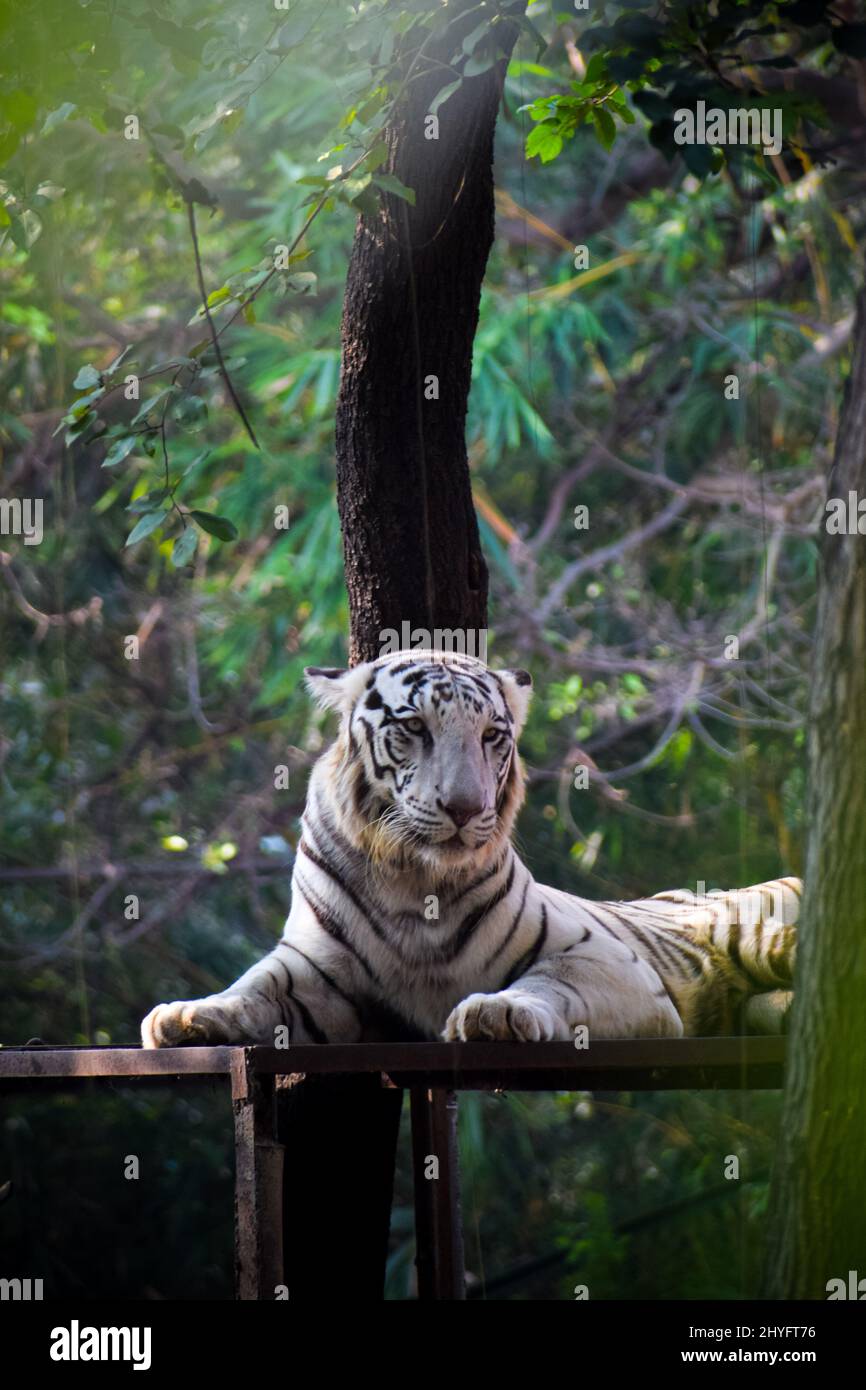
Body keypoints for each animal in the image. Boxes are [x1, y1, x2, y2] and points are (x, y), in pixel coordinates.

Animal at [141, 649, 800, 1049]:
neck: (414, 882)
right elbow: (255, 986)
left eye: (491, 736)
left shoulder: (608, 962)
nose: (464, 807)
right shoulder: (314, 968)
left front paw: (495, 1013)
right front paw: (189, 1015)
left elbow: (547, 982)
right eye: (413, 727)